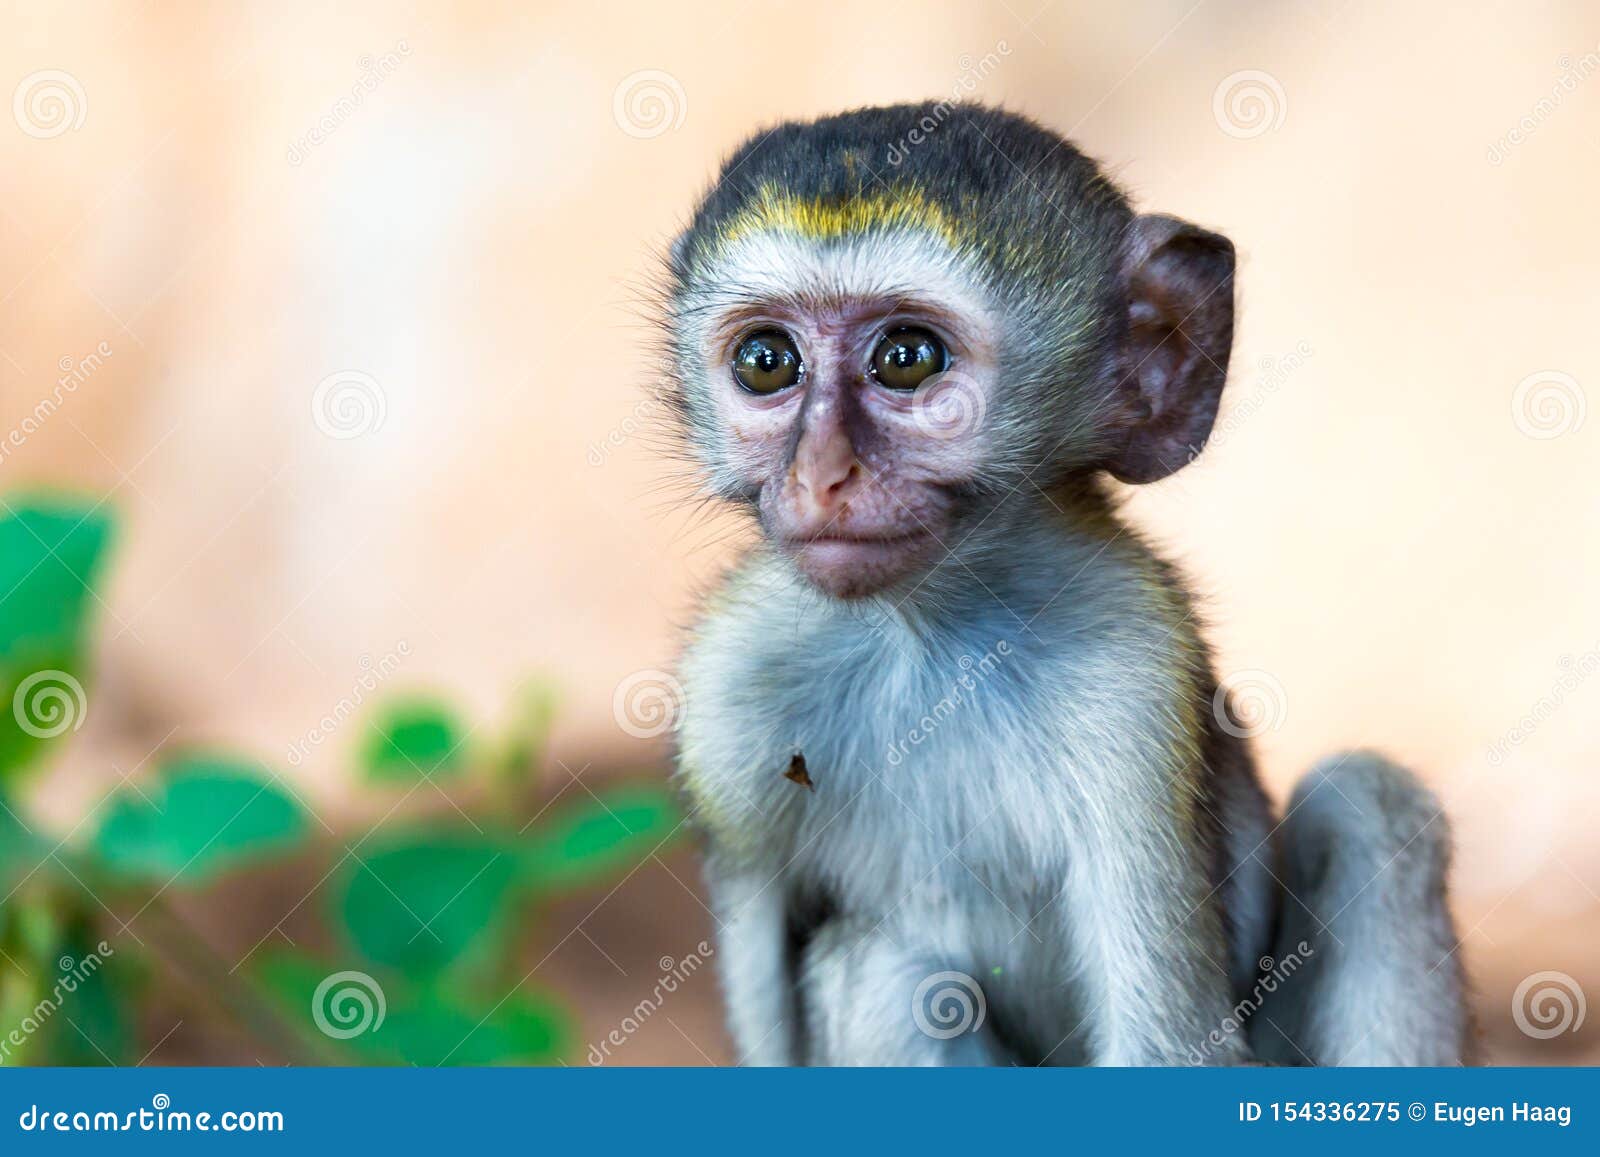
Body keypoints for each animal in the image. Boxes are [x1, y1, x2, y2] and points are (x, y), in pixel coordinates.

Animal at [659, 102, 1473, 1066]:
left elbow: (1169, 1047)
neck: (925, 635)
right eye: (766, 362)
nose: (820, 475)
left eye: (907, 357)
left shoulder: (1135, 676)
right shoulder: (727, 685)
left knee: (1368, 801)